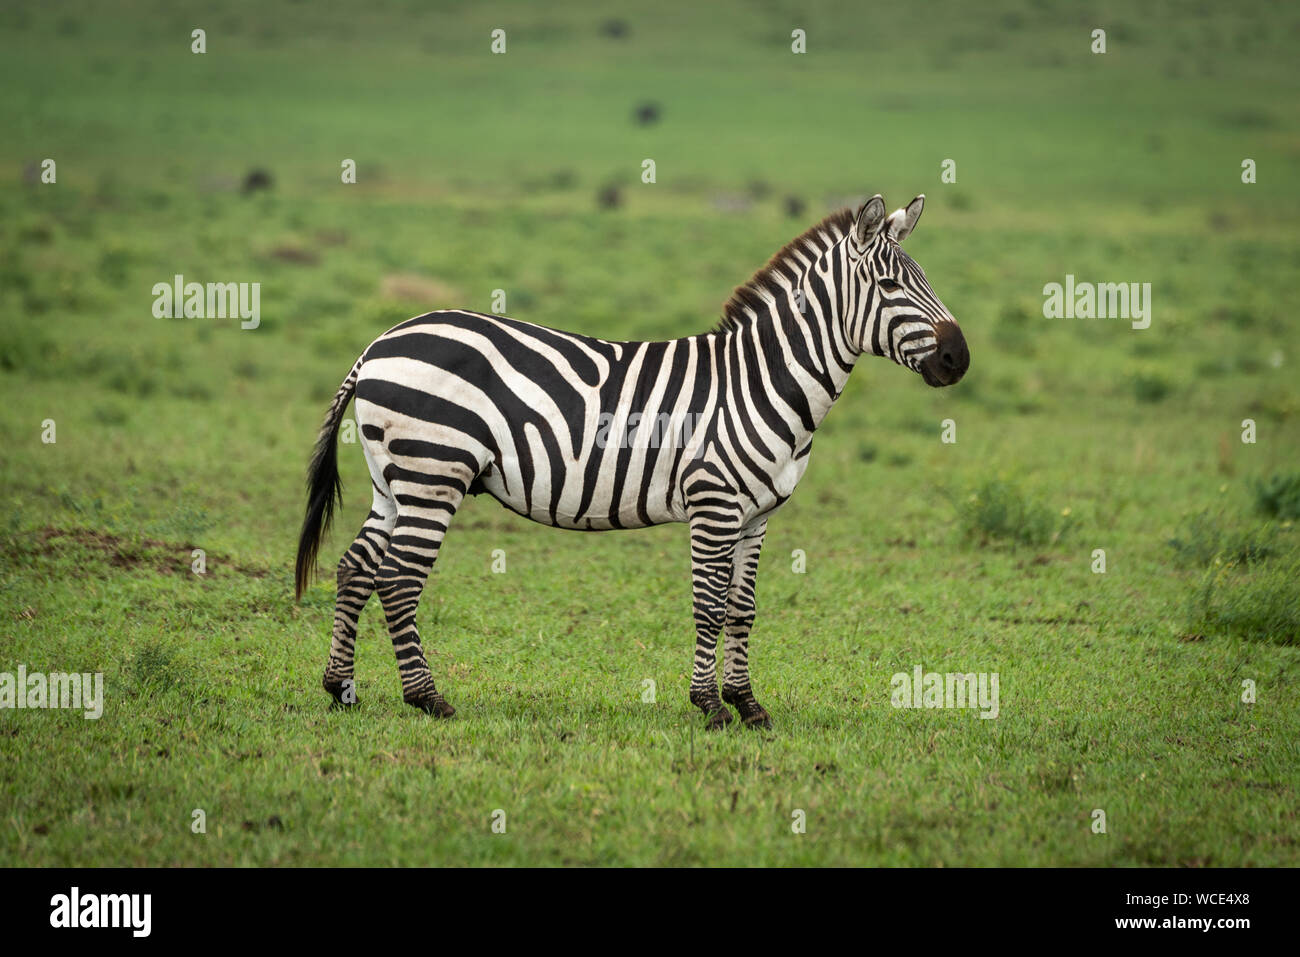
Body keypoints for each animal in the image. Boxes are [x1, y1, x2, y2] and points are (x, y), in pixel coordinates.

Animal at [295, 193, 968, 729]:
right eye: (891, 288)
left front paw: (749, 705)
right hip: (434, 474)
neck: (760, 380)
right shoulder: (714, 504)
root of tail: (380, 342)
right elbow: (710, 604)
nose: (958, 359)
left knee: (356, 568)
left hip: (392, 480)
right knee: (397, 580)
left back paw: (341, 687)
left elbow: (743, 610)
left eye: (927, 280)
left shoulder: (758, 515)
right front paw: (711, 707)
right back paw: (428, 699)